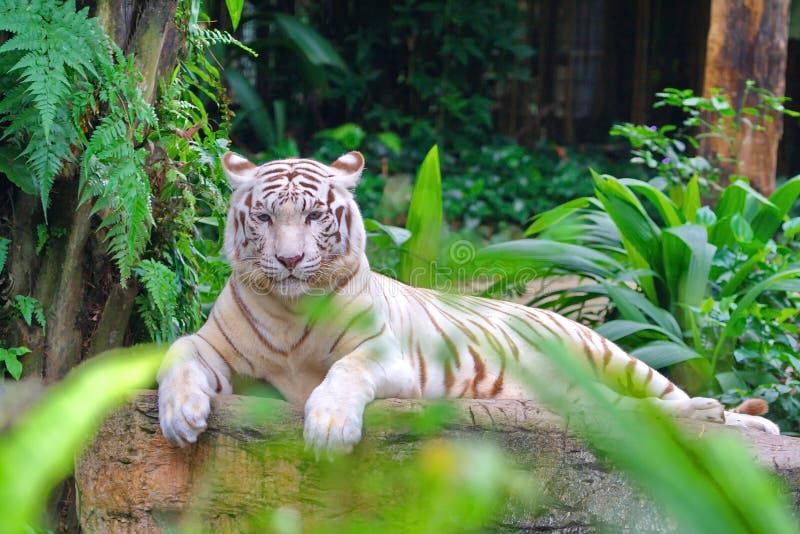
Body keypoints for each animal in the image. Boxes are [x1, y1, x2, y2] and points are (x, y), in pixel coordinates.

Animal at [157, 151, 780, 453]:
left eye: (312, 216)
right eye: (265, 217)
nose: (288, 261)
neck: (291, 313)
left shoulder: (385, 354)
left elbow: (344, 371)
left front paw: (329, 428)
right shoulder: (212, 345)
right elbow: (176, 356)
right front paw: (181, 417)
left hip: (612, 354)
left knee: (674, 398)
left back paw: (736, 421)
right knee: (618, 411)